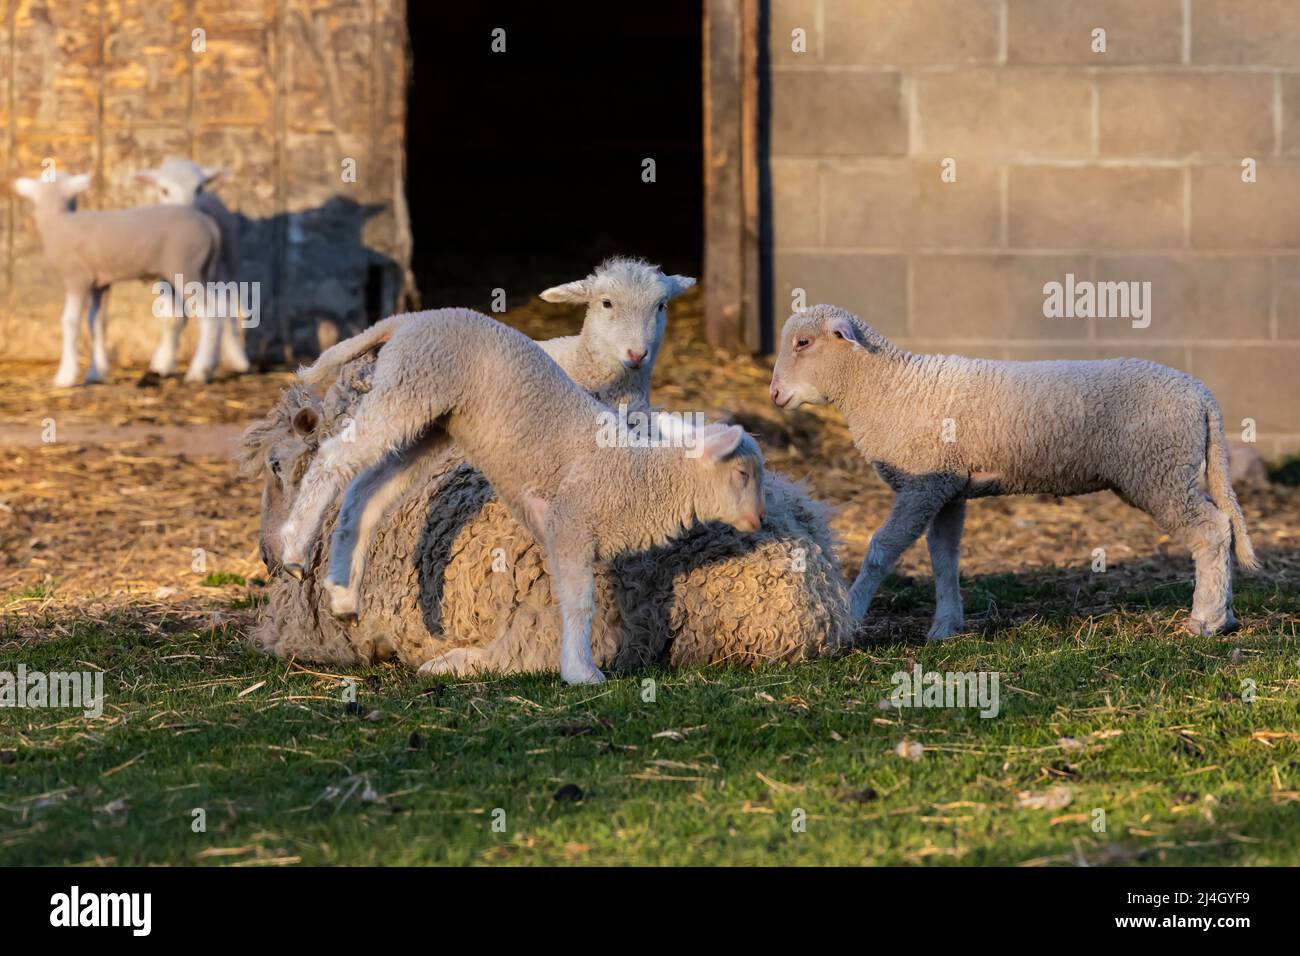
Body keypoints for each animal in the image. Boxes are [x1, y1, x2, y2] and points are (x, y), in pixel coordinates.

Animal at [13, 173, 225, 386]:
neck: (58, 221)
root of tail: (209, 225)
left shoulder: (77, 276)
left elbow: (70, 321)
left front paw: (65, 376)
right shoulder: (101, 283)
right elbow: (97, 322)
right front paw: (96, 373)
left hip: (184, 266)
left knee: (210, 312)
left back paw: (198, 372)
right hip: (204, 270)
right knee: (219, 307)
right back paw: (209, 366)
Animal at [134, 157, 250, 375]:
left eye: (199, 188)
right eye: (164, 190)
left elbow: (222, 311)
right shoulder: (167, 277)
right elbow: (173, 318)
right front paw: (163, 363)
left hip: (230, 262)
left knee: (230, 307)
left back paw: (235, 359)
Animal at [769, 303, 1259, 639]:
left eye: (803, 343)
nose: (774, 394)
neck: (886, 386)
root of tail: (1200, 393)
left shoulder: (921, 486)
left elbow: (881, 550)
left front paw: (849, 616)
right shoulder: (947, 487)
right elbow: (944, 559)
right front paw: (946, 627)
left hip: (1158, 469)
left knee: (1211, 530)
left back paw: (1206, 620)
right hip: (1170, 469)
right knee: (1220, 524)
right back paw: (1227, 614)